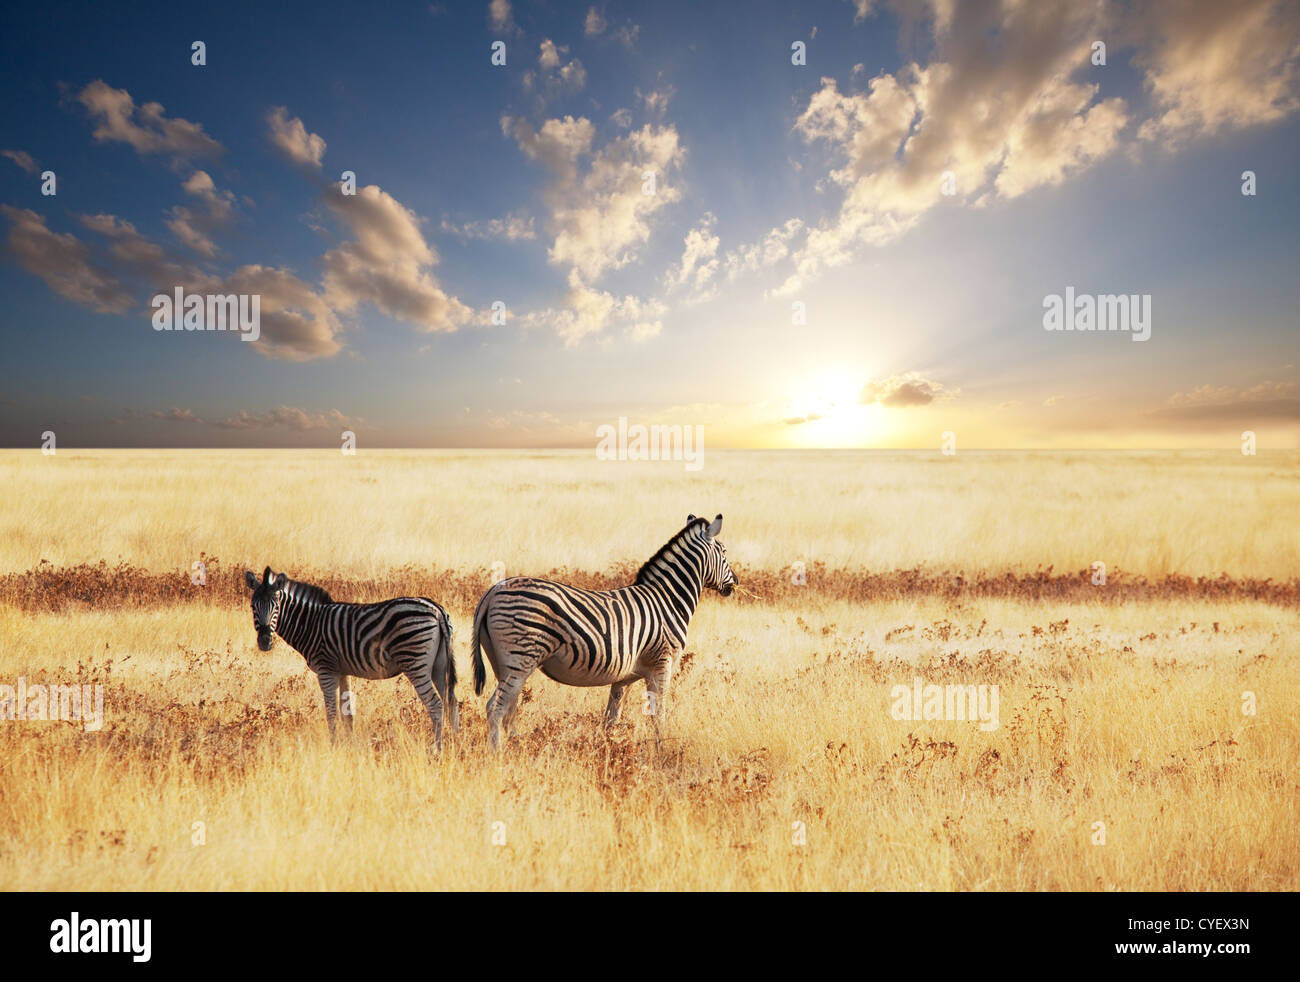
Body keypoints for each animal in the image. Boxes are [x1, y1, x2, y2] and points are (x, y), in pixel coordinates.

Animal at [243, 567, 458, 749]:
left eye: (276, 607)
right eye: (253, 606)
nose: (264, 642)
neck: (310, 623)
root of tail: (436, 610)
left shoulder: (325, 669)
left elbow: (331, 713)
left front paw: (333, 746)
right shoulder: (342, 671)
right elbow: (347, 713)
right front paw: (349, 745)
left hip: (416, 662)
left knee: (436, 705)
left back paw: (436, 749)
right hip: (439, 665)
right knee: (451, 702)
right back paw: (457, 744)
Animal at [469, 514, 738, 750]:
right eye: (724, 552)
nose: (735, 582)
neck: (667, 600)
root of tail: (494, 590)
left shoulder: (624, 676)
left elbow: (612, 719)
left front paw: (609, 752)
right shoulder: (662, 663)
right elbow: (657, 715)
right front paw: (662, 752)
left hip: (504, 664)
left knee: (509, 710)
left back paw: (517, 748)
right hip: (520, 659)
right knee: (496, 708)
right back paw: (498, 755)